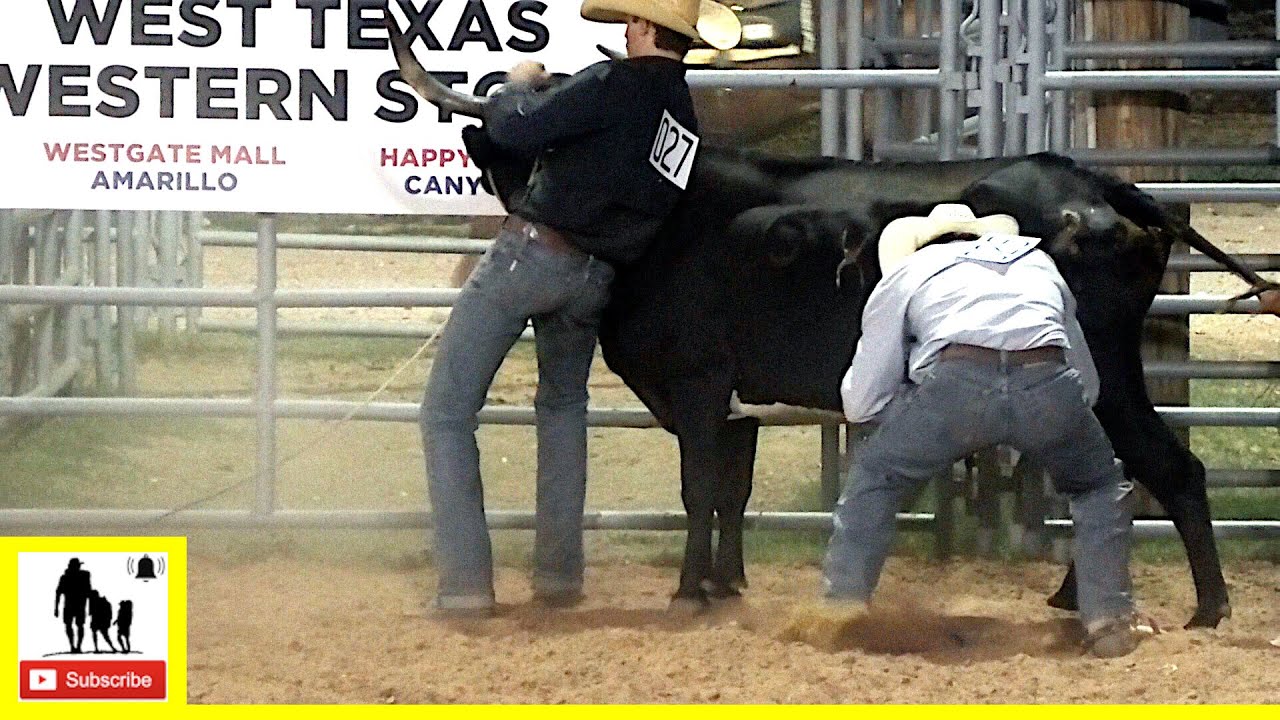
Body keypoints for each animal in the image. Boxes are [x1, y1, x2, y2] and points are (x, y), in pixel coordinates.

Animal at [386, 17, 1275, 628]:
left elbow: (699, 490)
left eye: (560, 133)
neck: (677, 219)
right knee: (1123, 476)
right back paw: (1084, 596)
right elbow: (733, 494)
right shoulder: (736, 403)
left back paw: (1207, 608)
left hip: (1105, 375)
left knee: (1167, 470)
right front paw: (728, 584)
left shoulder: (698, 384)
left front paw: (688, 591)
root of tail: (1089, 181)